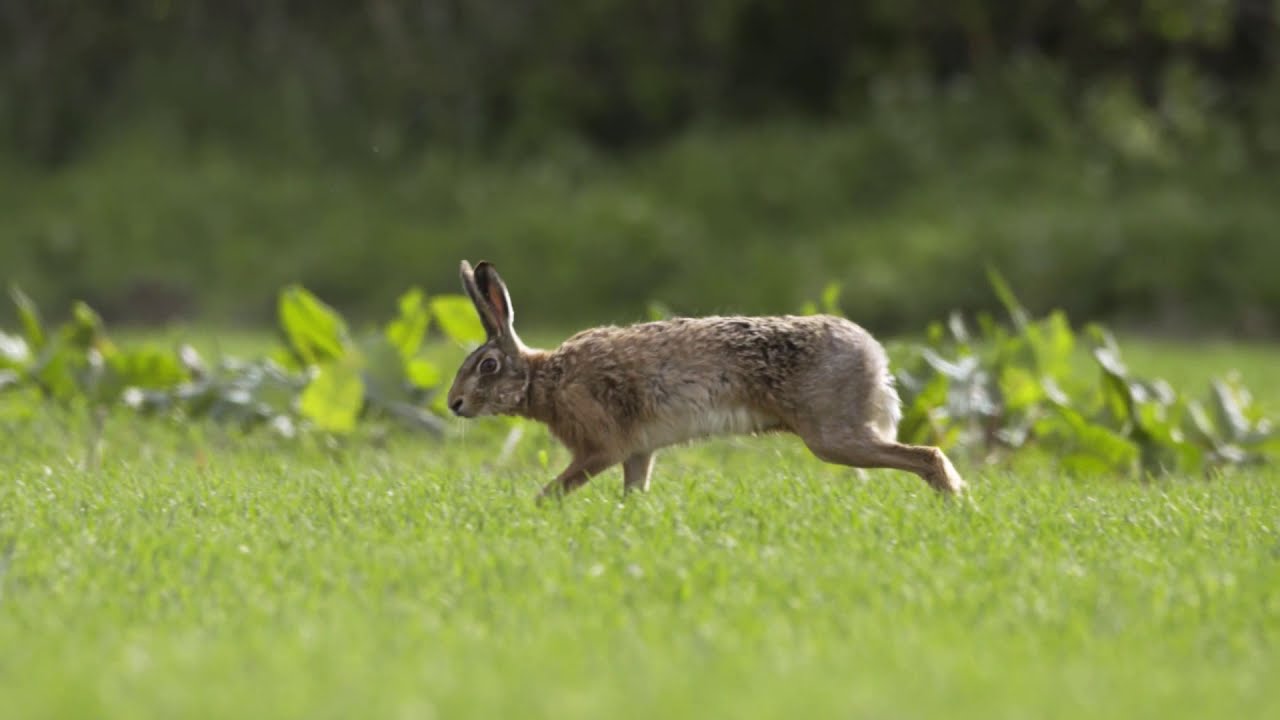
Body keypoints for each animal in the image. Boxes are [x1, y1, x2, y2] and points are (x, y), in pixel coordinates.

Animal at [446, 260, 966, 502]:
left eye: (487, 366)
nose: (454, 404)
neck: (544, 379)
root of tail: (874, 356)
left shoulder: (600, 447)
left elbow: (556, 489)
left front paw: (532, 509)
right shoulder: (638, 451)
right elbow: (634, 491)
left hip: (832, 435)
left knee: (927, 454)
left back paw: (956, 502)